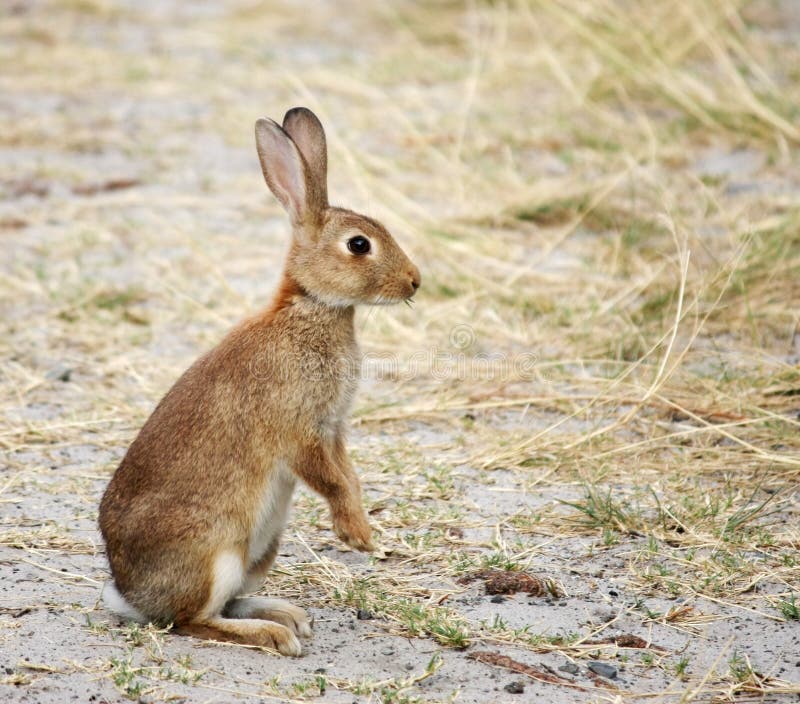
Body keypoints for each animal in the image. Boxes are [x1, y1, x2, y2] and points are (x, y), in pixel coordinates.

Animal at [98, 107, 421, 656]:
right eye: (359, 245)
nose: (415, 281)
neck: (311, 308)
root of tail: (131, 594)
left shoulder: (333, 429)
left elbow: (349, 476)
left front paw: (360, 530)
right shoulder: (299, 431)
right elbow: (331, 479)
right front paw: (356, 535)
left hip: (263, 548)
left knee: (225, 605)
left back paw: (288, 615)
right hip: (217, 552)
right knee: (194, 620)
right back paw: (275, 634)